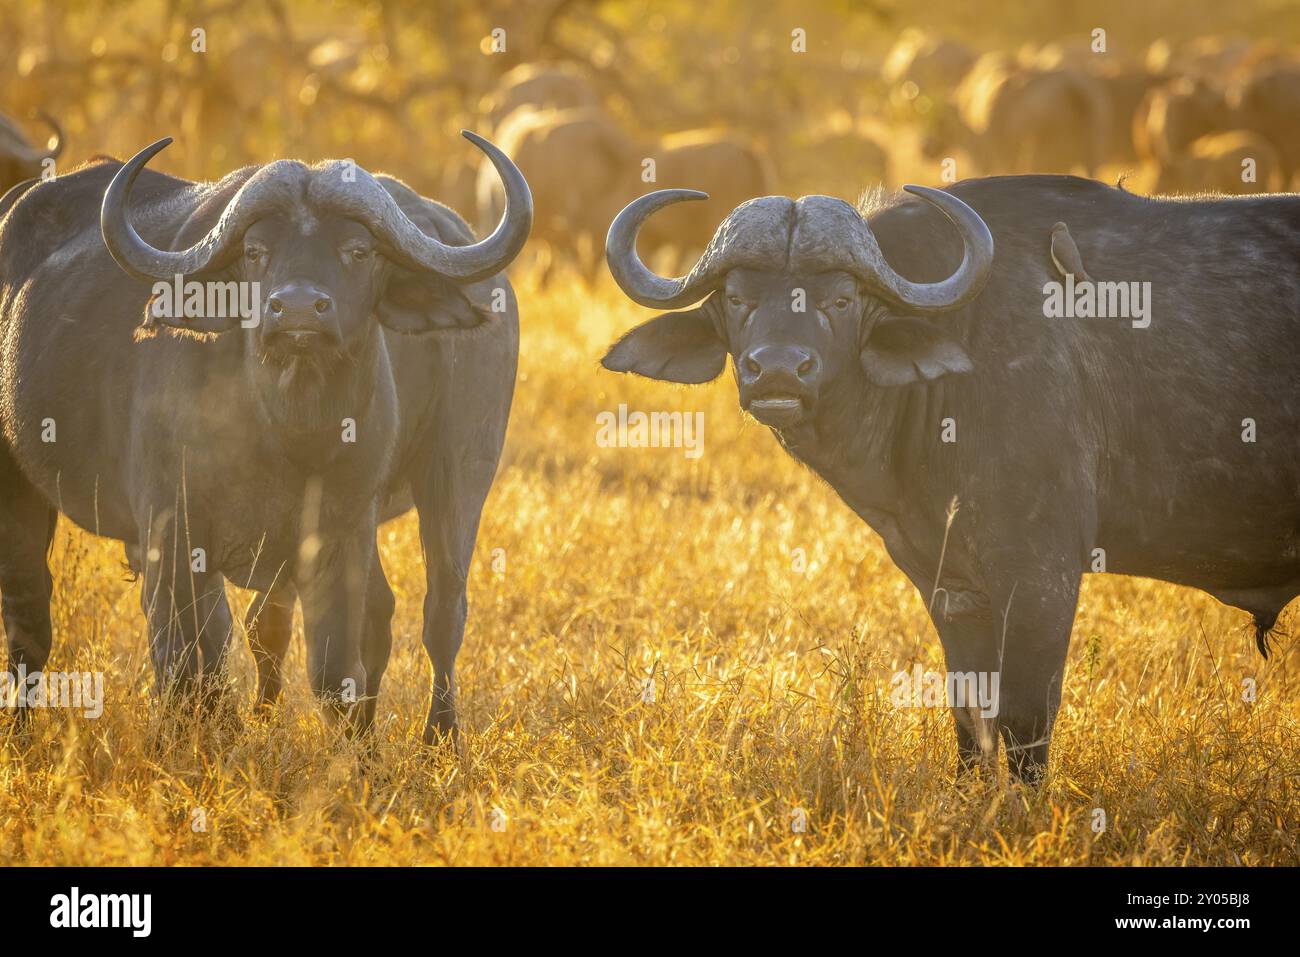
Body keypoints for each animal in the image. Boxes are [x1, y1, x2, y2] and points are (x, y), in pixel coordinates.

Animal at [0, 132, 530, 740]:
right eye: (256, 252)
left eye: (358, 250)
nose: (297, 309)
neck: (287, 428)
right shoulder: (172, 530)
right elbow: (186, 656)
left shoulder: (341, 533)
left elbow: (329, 667)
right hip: (16, 482)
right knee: (30, 608)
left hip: (459, 469)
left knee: (438, 609)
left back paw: (438, 739)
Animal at [600, 177, 1299, 781]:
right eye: (737, 297)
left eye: (840, 300)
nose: (776, 371)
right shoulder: (950, 585)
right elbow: (971, 717)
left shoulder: (1042, 575)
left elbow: (1025, 720)